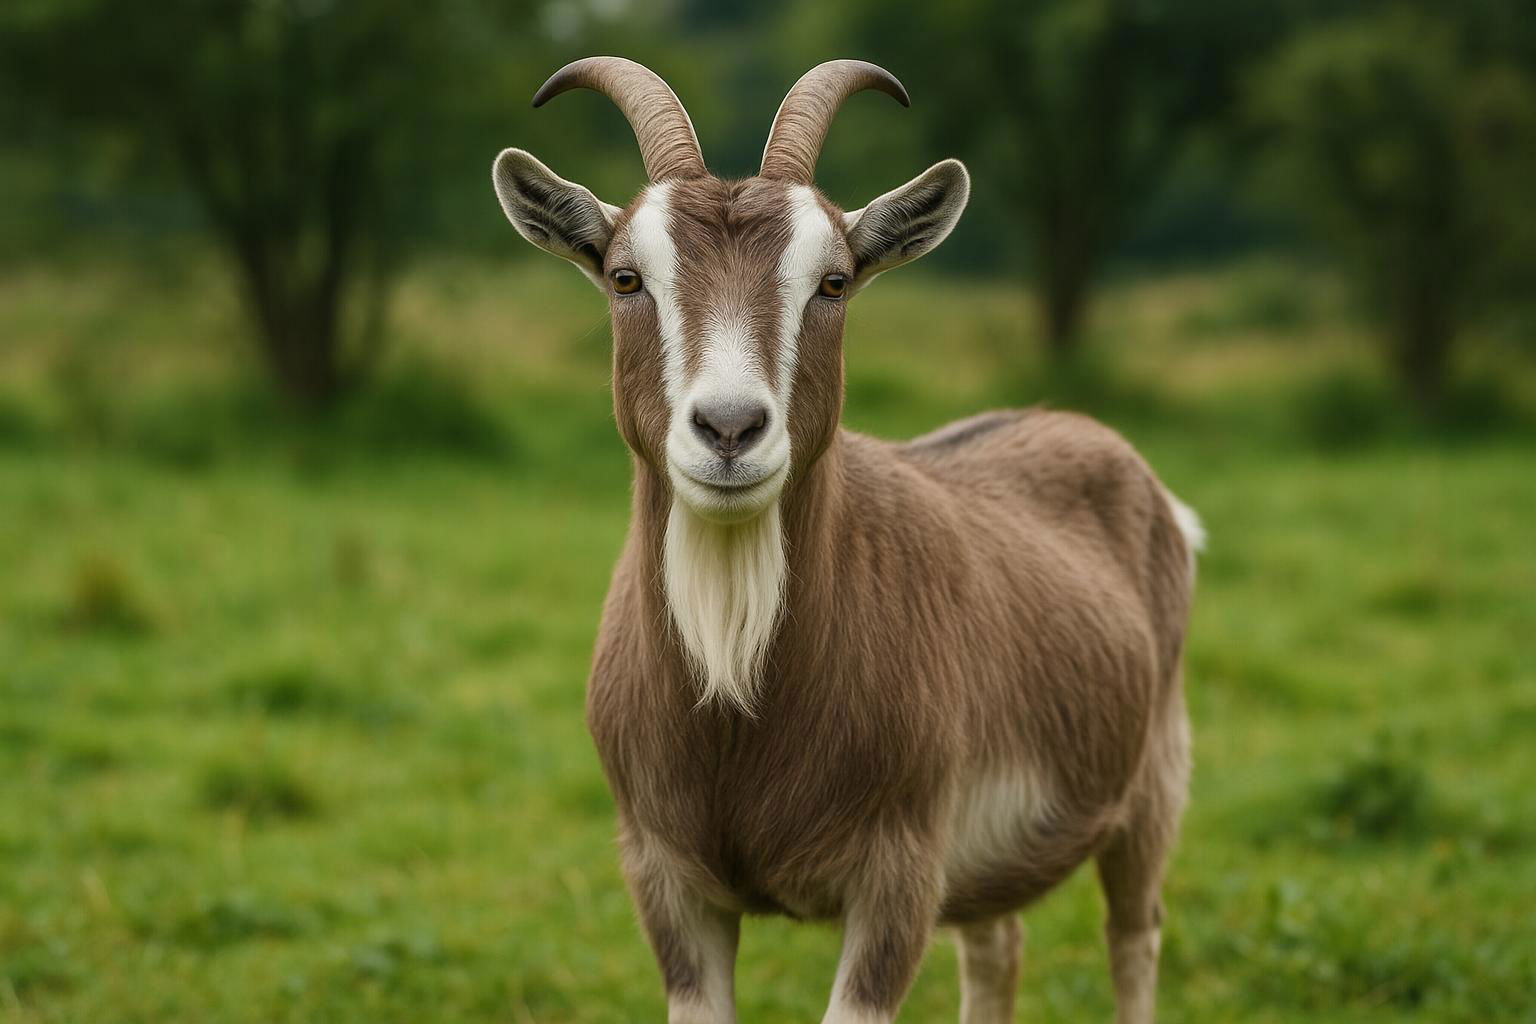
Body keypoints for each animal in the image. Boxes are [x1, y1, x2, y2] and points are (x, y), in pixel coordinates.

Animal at [493, 57, 1203, 1024]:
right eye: (626, 277)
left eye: (832, 282)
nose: (729, 428)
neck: (738, 708)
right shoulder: (666, 876)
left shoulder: (897, 875)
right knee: (997, 943)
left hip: (1151, 780)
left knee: (1135, 935)